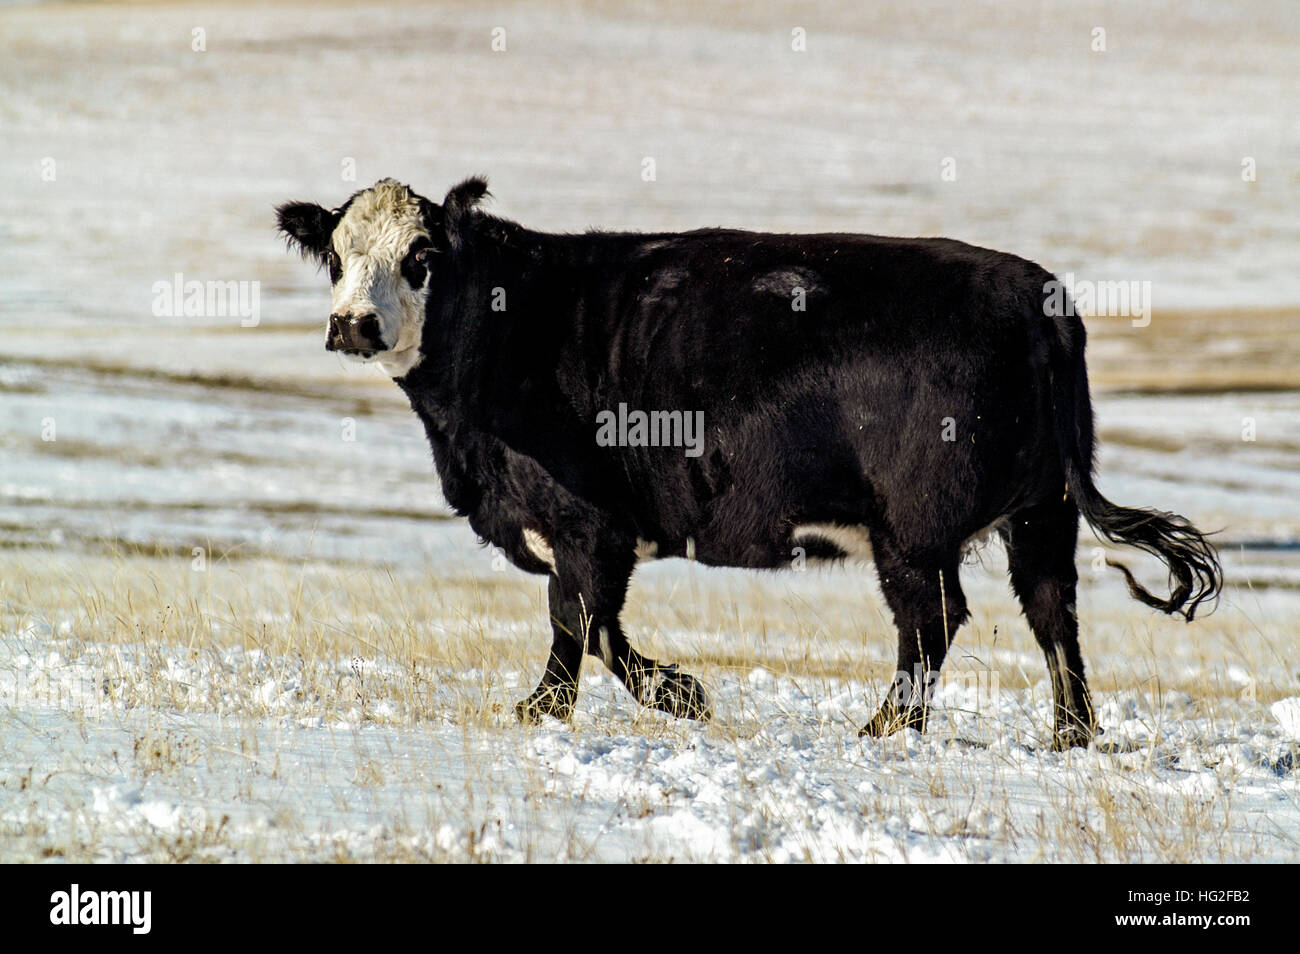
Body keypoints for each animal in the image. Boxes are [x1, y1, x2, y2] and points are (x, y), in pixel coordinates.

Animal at [277, 177, 1221, 750]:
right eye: (337, 256)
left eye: (421, 257)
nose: (353, 324)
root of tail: (1037, 296)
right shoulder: (598, 528)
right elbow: (597, 623)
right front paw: (662, 694)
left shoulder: (584, 521)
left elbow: (578, 618)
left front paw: (569, 706)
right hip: (1040, 513)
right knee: (1052, 613)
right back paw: (1071, 736)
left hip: (913, 532)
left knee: (934, 622)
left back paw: (884, 729)